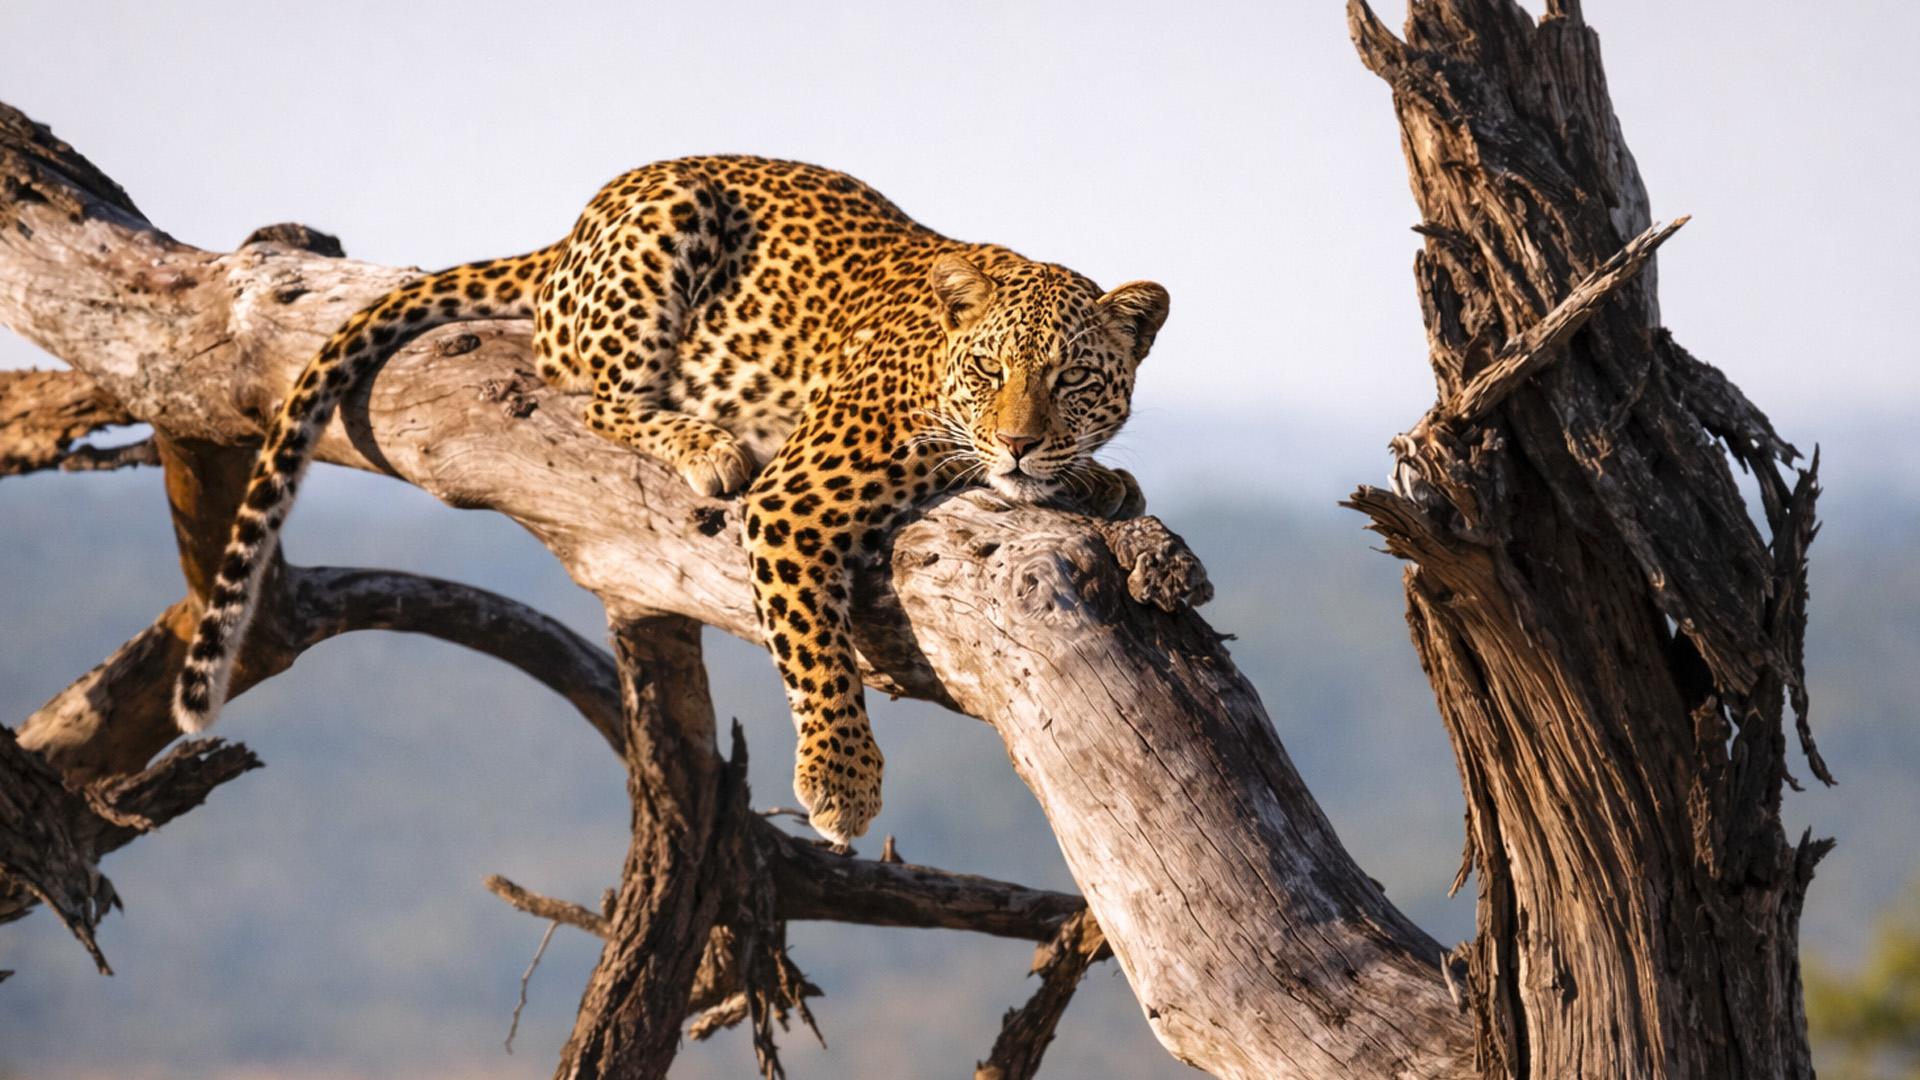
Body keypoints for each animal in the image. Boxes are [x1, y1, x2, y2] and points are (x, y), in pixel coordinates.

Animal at [173, 155, 1171, 846]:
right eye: (989, 371)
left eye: (1073, 377)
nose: (1020, 442)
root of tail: (574, 225)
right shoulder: (796, 502)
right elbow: (816, 652)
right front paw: (840, 781)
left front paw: (1098, 478)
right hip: (667, 231)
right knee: (593, 396)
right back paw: (712, 444)